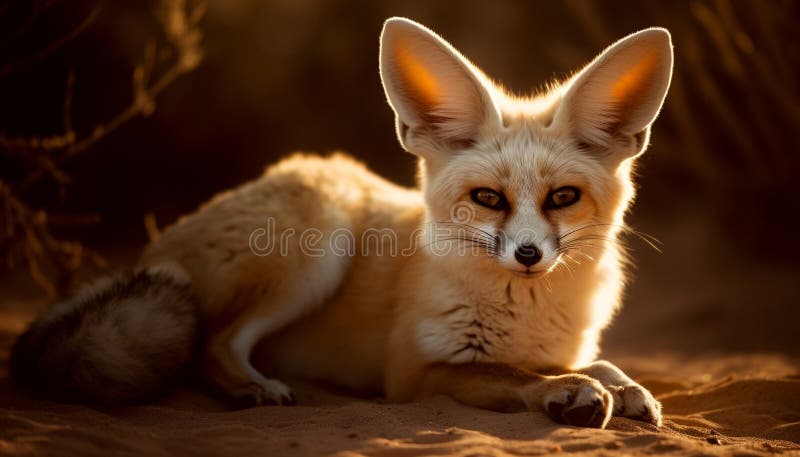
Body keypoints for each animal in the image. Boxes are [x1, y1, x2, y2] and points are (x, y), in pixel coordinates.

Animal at [11, 18, 673, 429]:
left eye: (562, 197)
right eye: (488, 198)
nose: (529, 256)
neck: (527, 314)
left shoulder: (567, 344)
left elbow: (600, 363)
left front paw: (626, 389)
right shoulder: (414, 372)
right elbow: (511, 372)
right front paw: (565, 391)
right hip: (320, 242)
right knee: (209, 344)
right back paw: (252, 388)